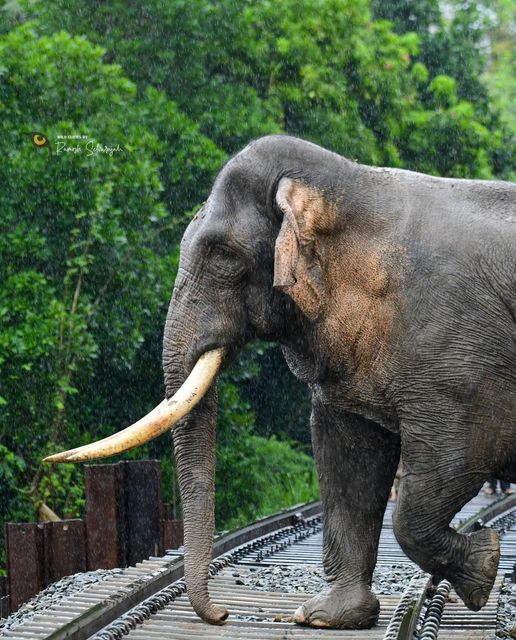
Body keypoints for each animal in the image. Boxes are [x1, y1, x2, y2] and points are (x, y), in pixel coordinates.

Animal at [46, 135, 516, 630]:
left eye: (223, 255)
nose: (221, 614)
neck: (355, 181)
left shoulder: (459, 352)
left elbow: (449, 464)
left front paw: (484, 567)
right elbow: (349, 458)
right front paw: (325, 617)